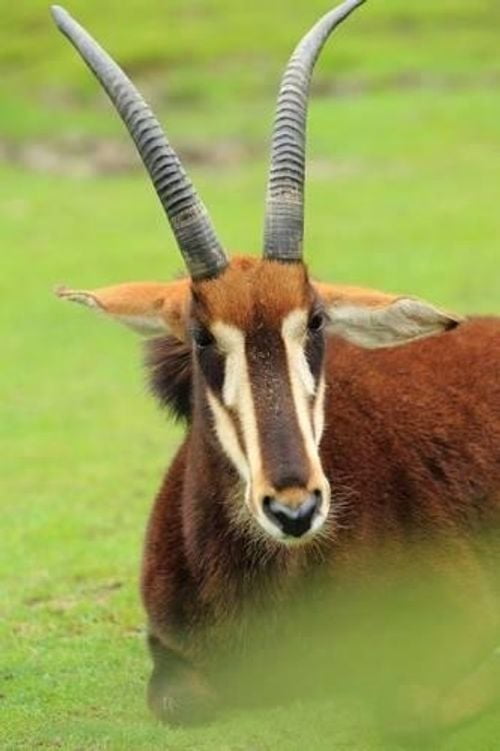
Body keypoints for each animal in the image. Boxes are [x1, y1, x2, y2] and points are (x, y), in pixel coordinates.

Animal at [52, 0, 500, 733]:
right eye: (202, 337)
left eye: (314, 322)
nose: (295, 507)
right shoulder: (172, 659)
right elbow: (179, 702)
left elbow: (404, 704)